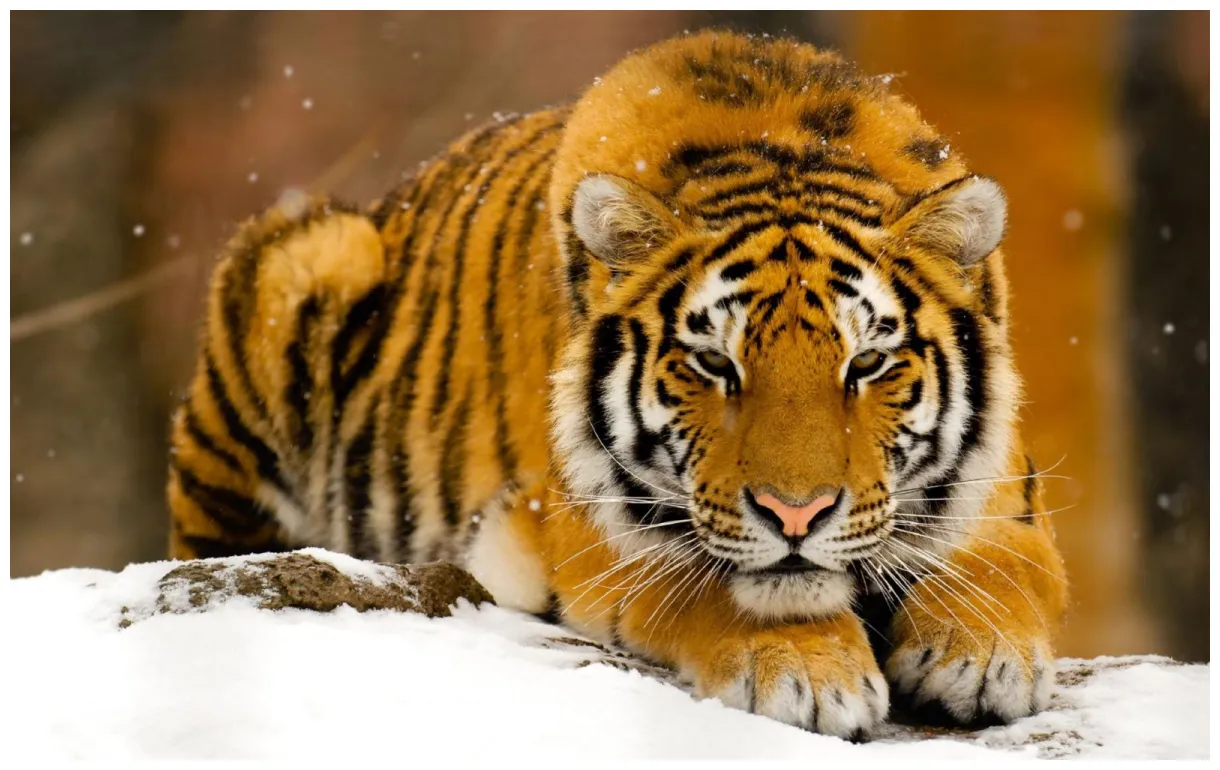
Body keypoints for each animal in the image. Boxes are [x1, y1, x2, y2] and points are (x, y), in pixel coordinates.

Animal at [167, 30, 1068, 738]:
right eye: (715, 364)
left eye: (867, 364)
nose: (796, 515)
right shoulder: (584, 521)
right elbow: (712, 580)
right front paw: (808, 672)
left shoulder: (1003, 491)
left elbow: (1005, 564)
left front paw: (983, 656)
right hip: (306, 261)